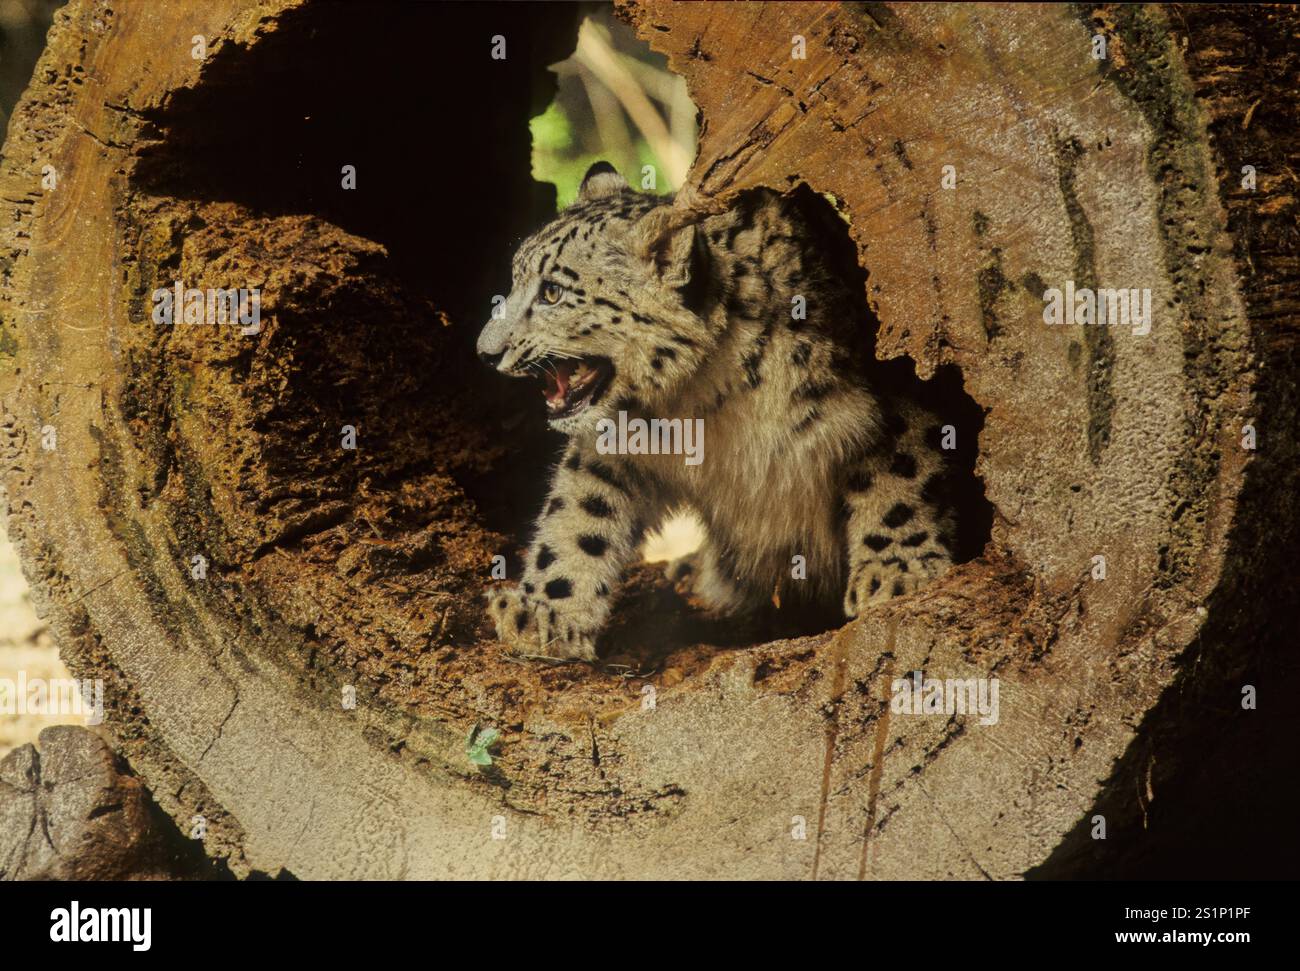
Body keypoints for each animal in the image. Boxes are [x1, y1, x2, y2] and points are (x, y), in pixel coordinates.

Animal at [477, 162, 964, 660]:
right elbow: (579, 513)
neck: (707, 398)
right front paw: (543, 613)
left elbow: (898, 479)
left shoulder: (892, 395)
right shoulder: (614, 443)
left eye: (552, 291)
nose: (485, 353)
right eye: (515, 279)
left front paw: (896, 571)